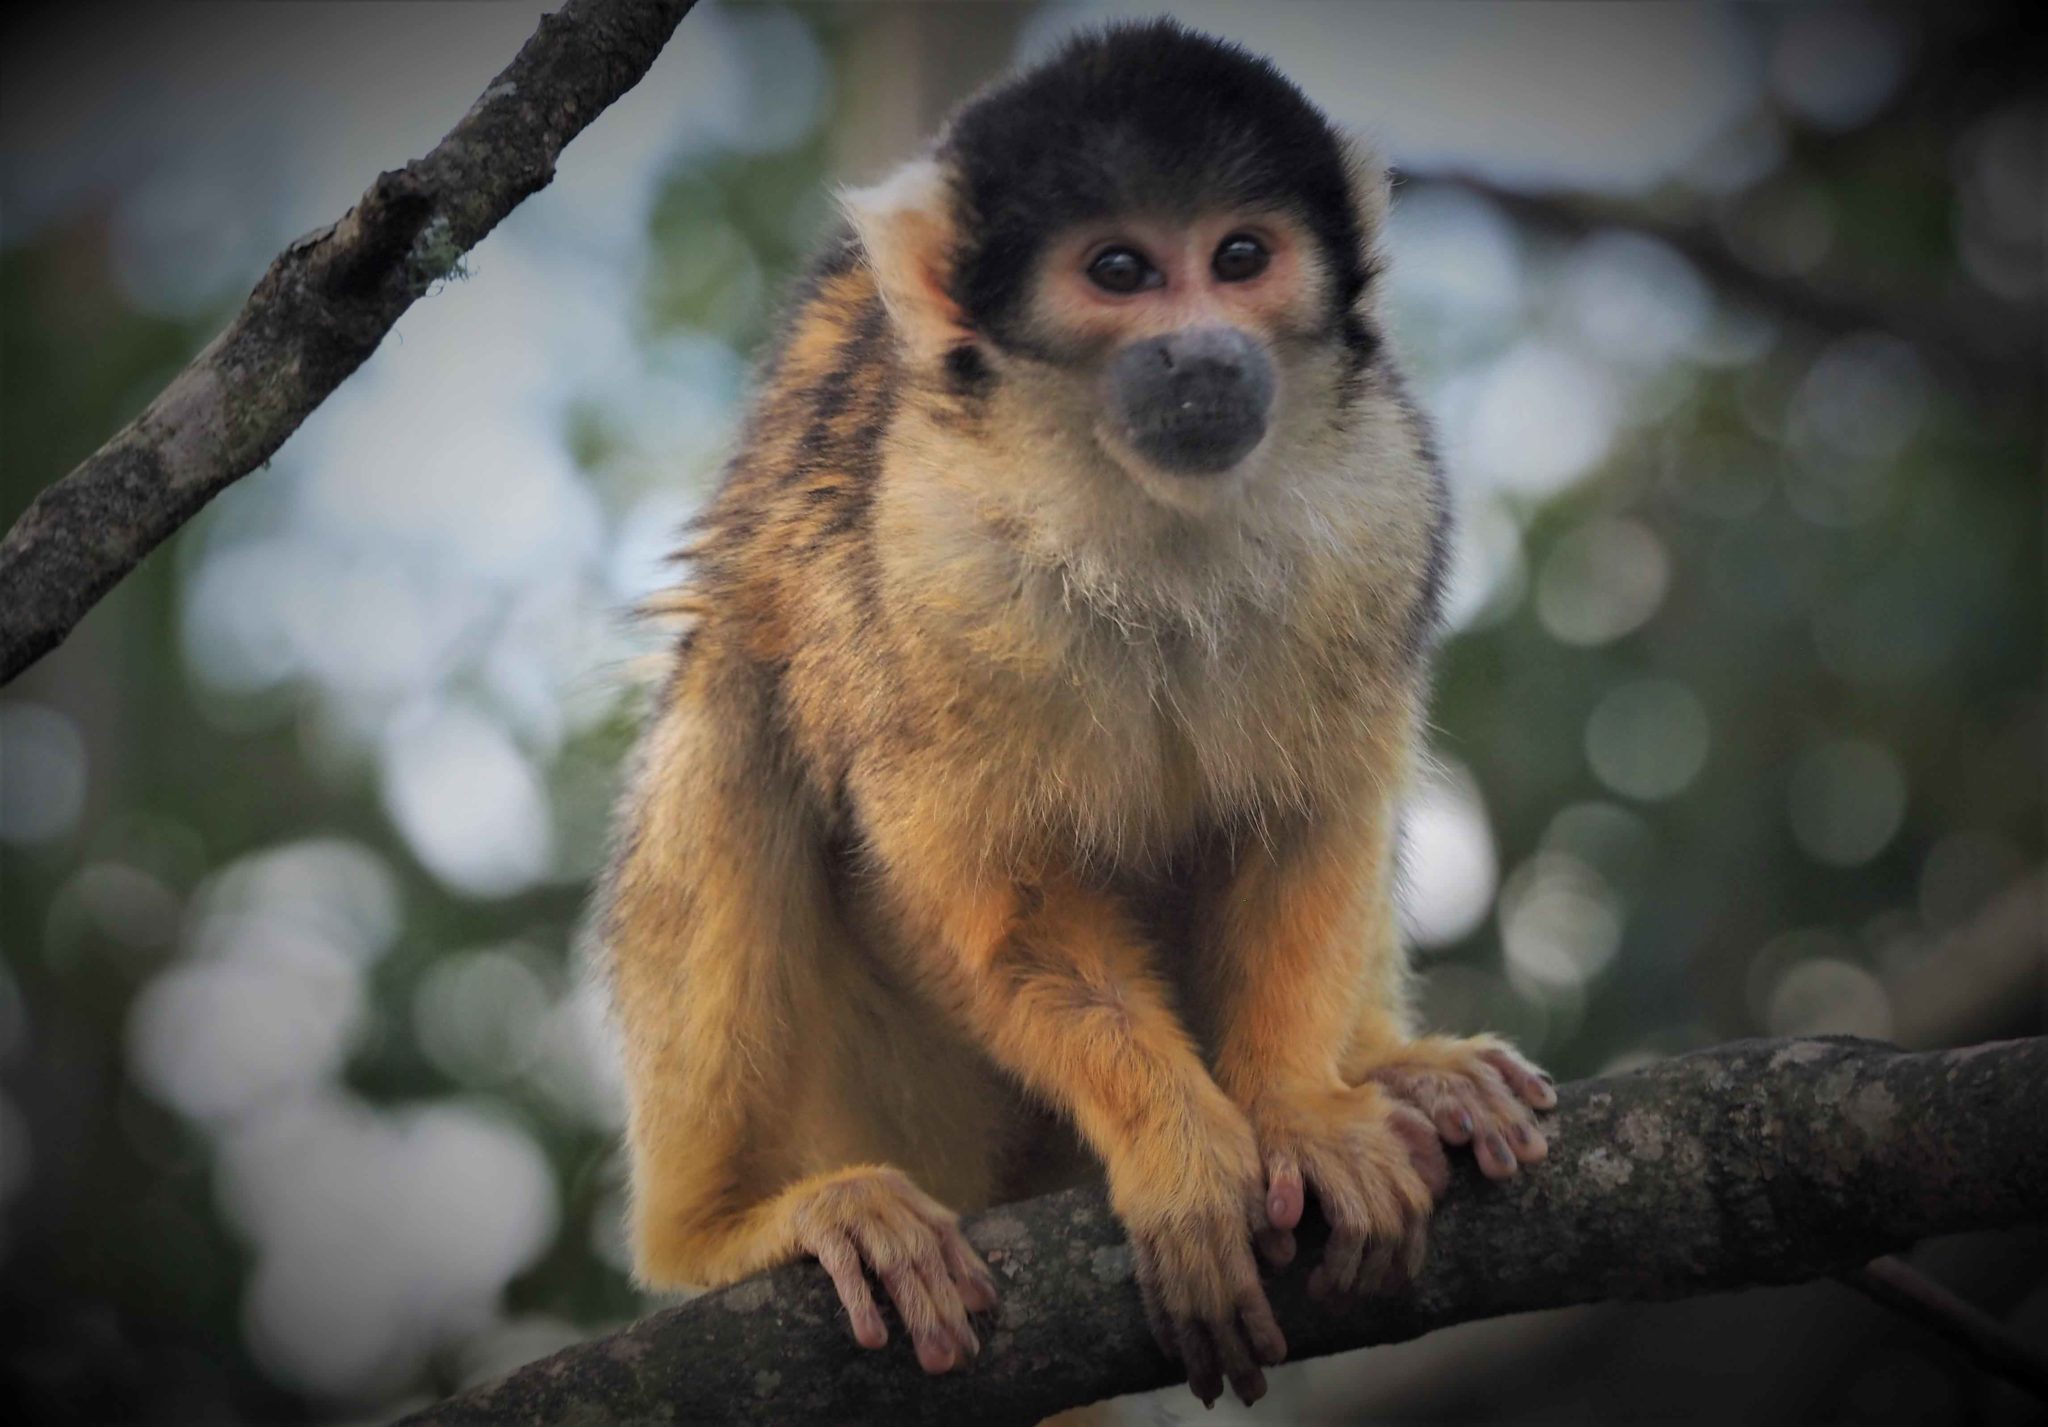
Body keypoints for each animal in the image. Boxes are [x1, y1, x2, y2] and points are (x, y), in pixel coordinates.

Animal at [600, 21, 1556, 1411]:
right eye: (1118, 271)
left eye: (1239, 258)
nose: (1203, 353)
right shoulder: (924, 553)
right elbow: (989, 897)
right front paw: (1181, 1147)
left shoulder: (1383, 498)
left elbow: (1312, 815)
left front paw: (1299, 1109)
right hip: (897, 1108)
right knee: (738, 696)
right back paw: (727, 1227)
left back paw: (1390, 1064)